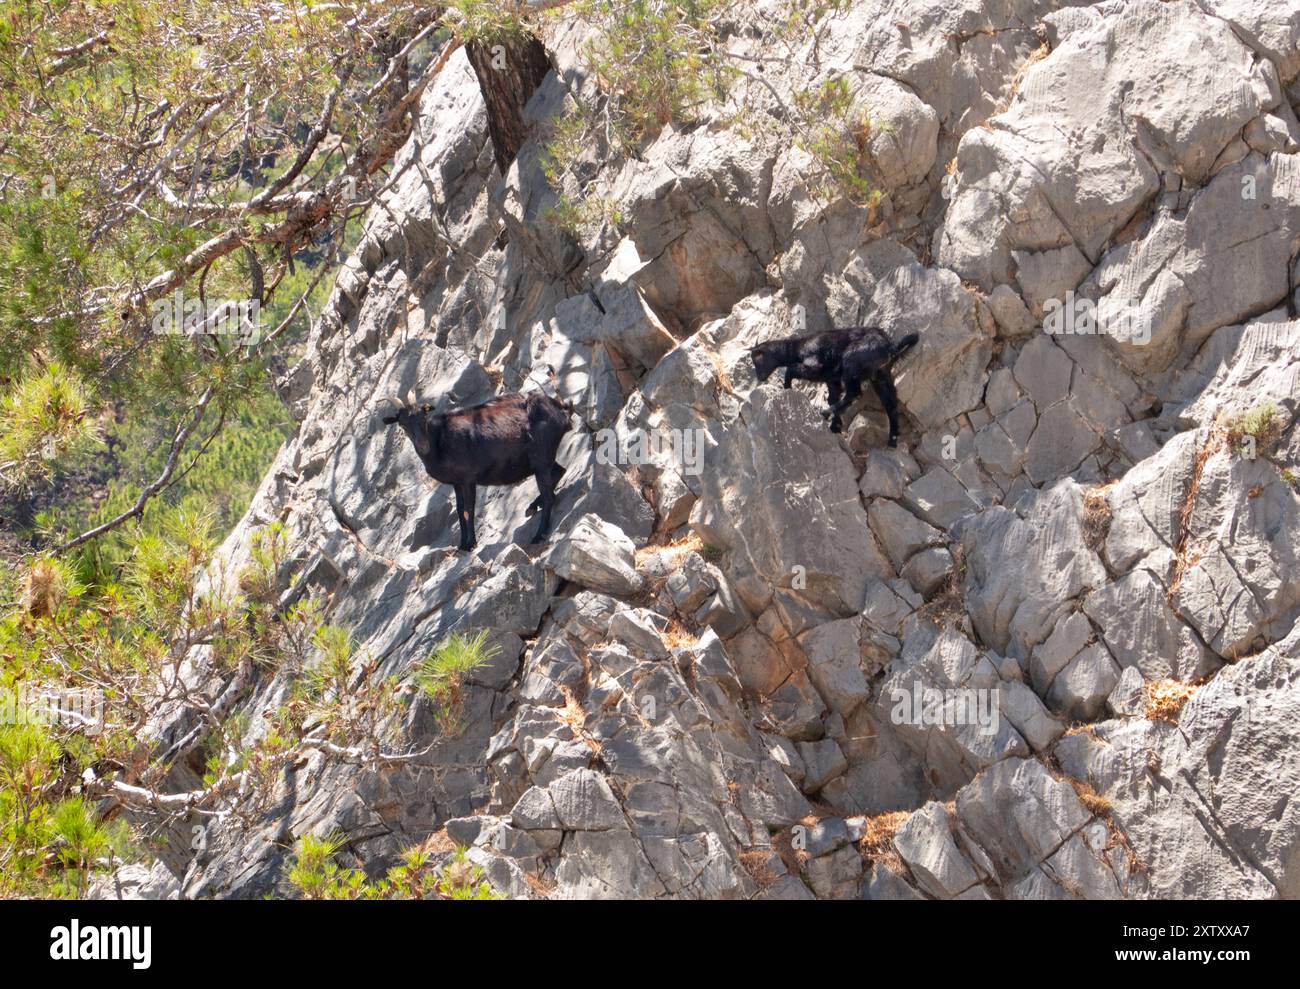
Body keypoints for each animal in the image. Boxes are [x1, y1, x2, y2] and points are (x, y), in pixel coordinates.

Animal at [381, 388, 571, 551]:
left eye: (423, 416)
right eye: (402, 424)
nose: (423, 445)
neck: (439, 440)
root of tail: (560, 409)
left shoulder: (468, 478)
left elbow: (469, 509)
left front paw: (471, 543)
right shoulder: (456, 482)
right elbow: (459, 509)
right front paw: (461, 545)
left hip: (541, 458)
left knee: (549, 494)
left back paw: (539, 535)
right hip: (541, 460)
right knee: (560, 471)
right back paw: (533, 506)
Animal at [750, 326, 918, 444]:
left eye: (757, 360)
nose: (760, 377)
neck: (797, 348)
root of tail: (890, 347)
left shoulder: (815, 366)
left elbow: (790, 370)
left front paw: (787, 388)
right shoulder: (832, 380)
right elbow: (833, 398)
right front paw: (836, 426)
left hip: (852, 363)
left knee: (854, 393)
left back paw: (824, 413)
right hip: (880, 375)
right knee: (890, 404)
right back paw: (892, 440)